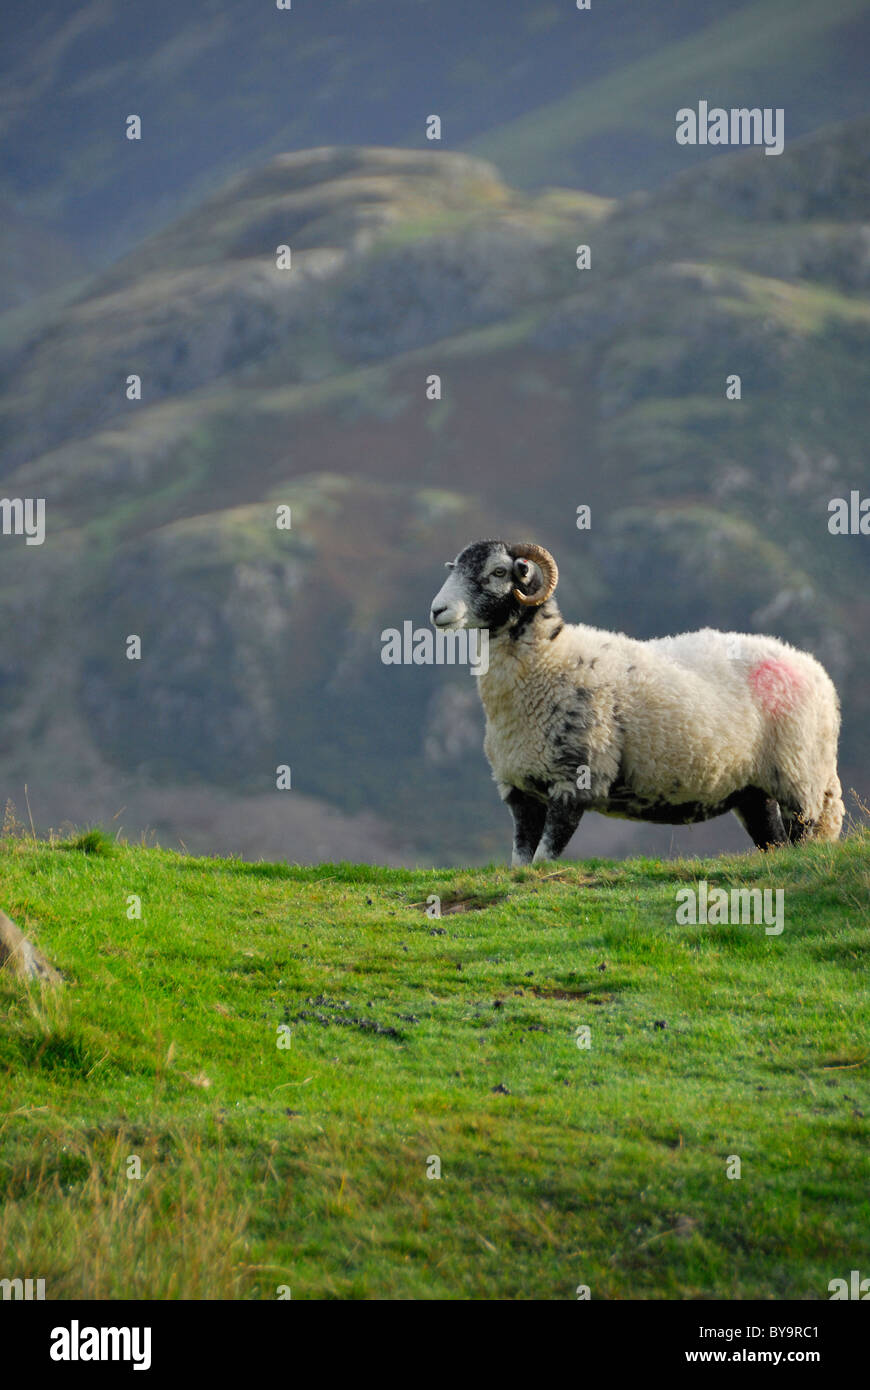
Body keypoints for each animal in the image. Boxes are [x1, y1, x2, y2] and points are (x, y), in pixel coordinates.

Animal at [429, 540, 844, 865]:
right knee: (773, 841)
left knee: (804, 836)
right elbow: (520, 864)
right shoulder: (520, 790)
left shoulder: (576, 780)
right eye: (457, 567)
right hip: (753, 790)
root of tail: (816, 670)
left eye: (498, 571)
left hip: (800, 777)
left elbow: (543, 861)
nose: (437, 611)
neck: (548, 660)